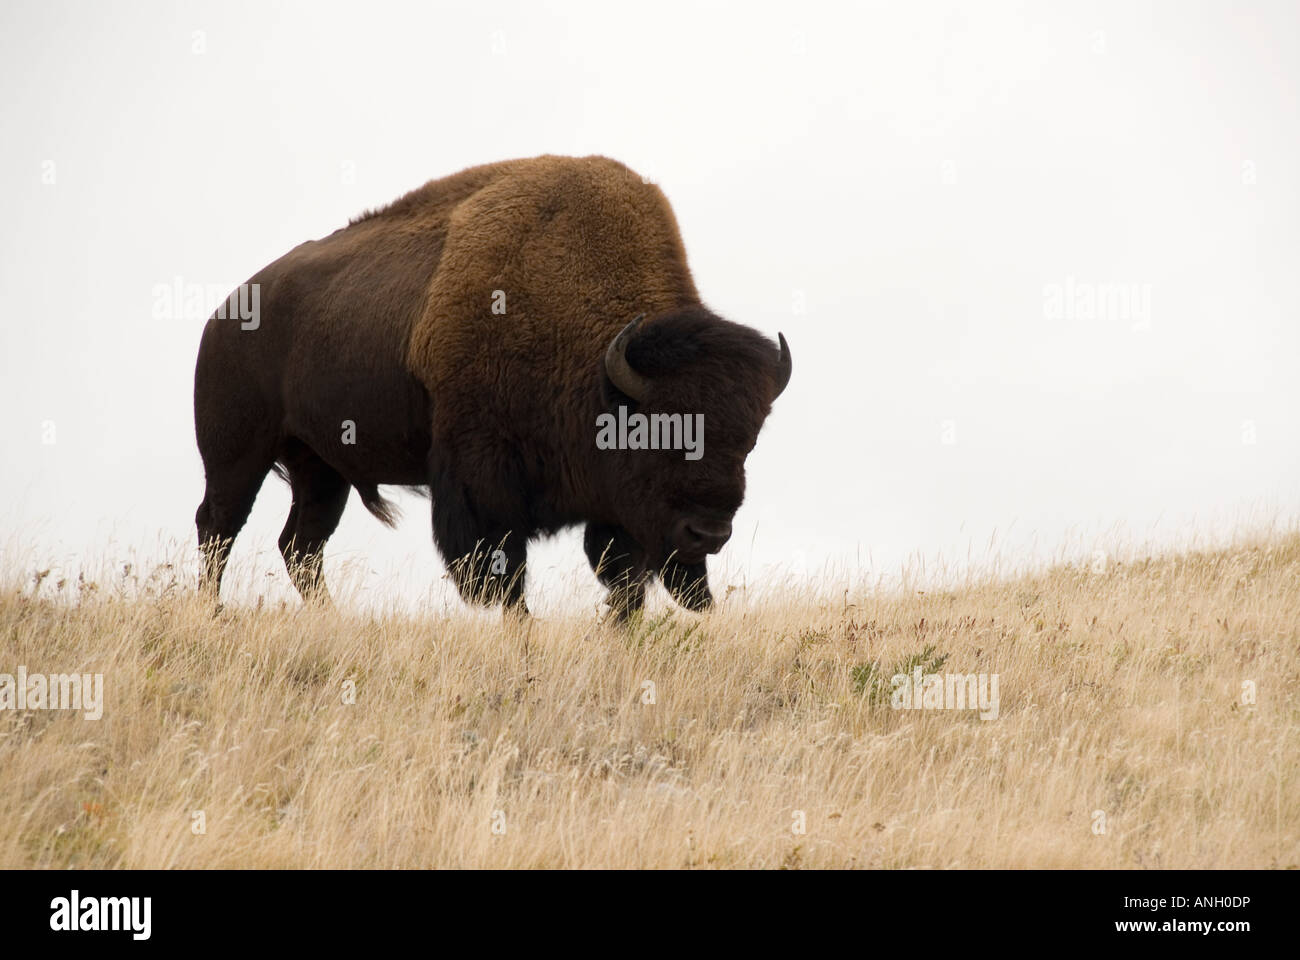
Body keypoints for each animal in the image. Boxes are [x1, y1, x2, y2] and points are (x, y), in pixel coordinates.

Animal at [194, 155, 791, 619]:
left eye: (747, 442)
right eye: (660, 436)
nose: (708, 535)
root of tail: (225, 312)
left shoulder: (614, 510)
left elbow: (623, 578)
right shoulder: (483, 476)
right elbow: (503, 573)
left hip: (322, 468)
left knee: (300, 545)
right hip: (236, 453)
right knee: (219, 526)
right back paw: (212, 612)